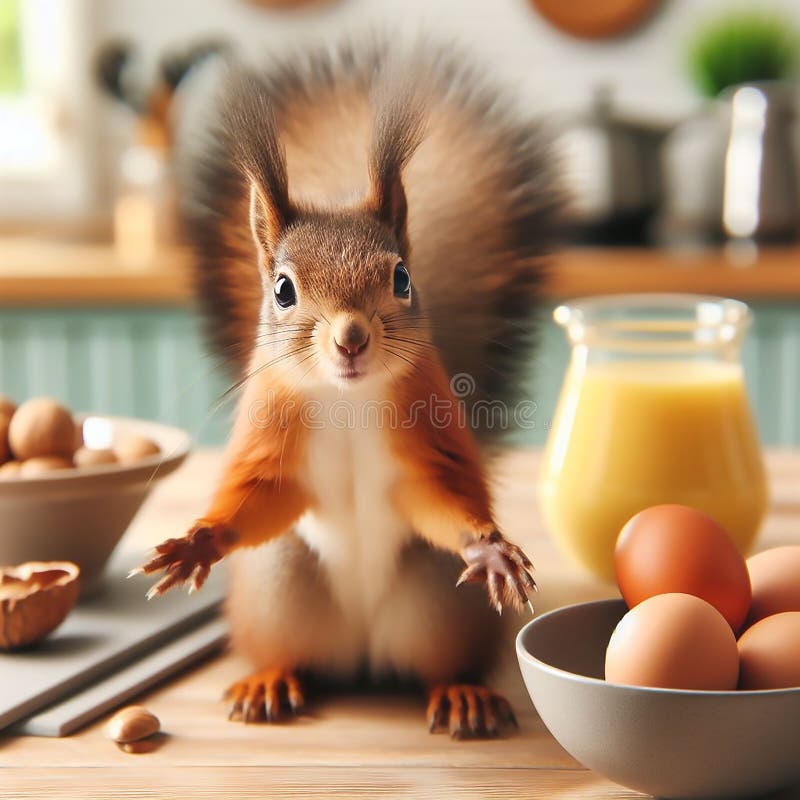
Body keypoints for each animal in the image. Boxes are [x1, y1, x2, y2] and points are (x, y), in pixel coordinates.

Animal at [138, 42, 559, 738]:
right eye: (282, 289)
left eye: (403, 277)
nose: (352, 337)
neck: (347, 400)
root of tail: (363, 656)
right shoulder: (271, 431)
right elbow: (261, 497)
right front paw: (201, 540)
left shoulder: (426, 433)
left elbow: (437, 496)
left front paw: (489, 547)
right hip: (282, 588)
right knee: (292, 652)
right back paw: (269, 681)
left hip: (436, 597)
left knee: (435, 661)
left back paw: (461, 693)